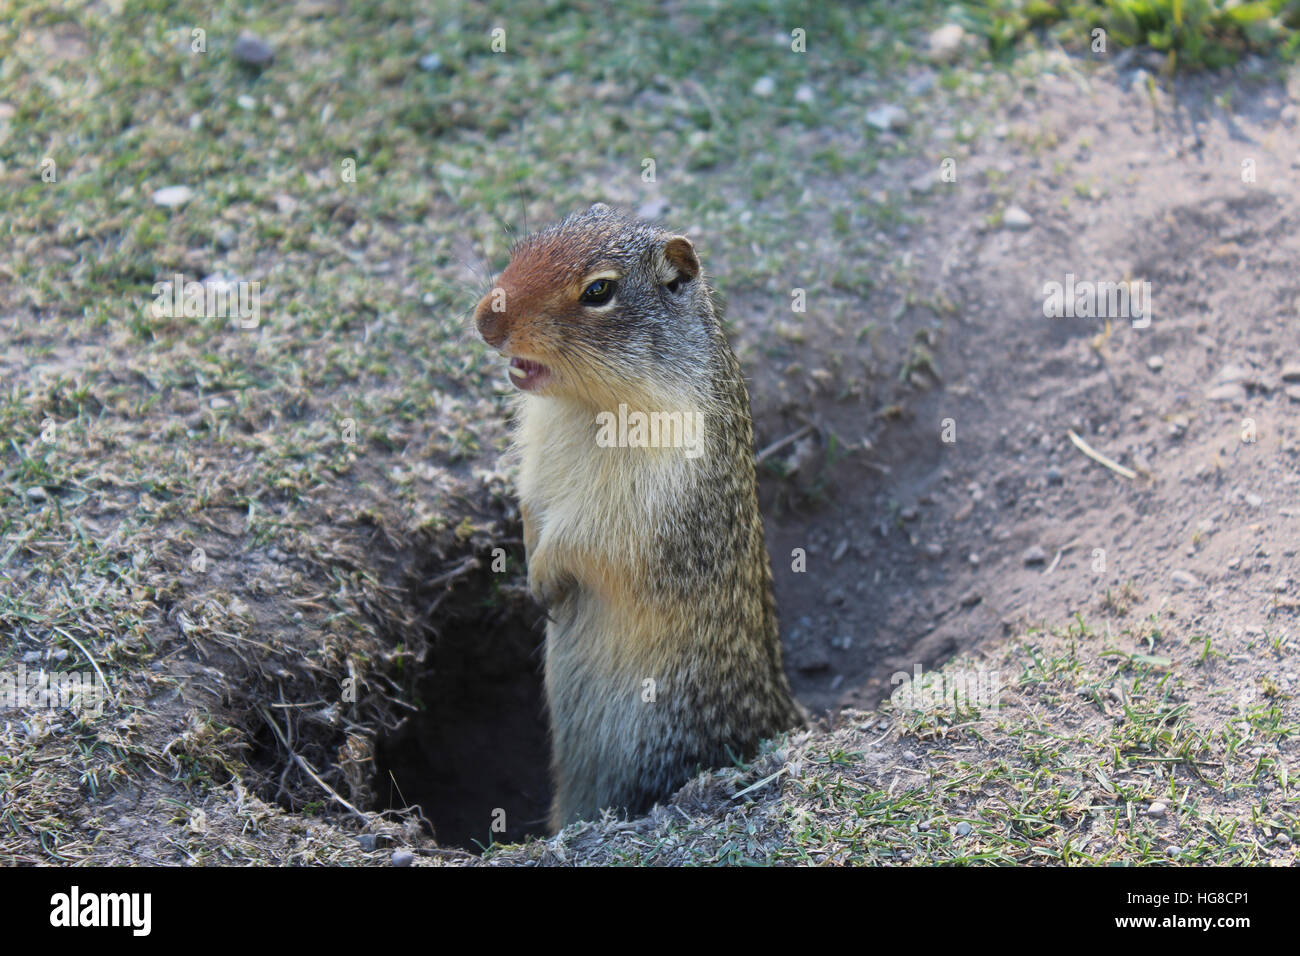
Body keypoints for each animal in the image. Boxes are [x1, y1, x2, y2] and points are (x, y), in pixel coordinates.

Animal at [474, 203, 804, 831]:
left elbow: (587, 540)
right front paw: (529, 565)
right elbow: (531, 504)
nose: (483, 322)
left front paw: (546, 579)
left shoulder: (647, 495)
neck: (582, 408)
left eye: (599, 291)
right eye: (524, 245)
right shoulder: (535, 460)